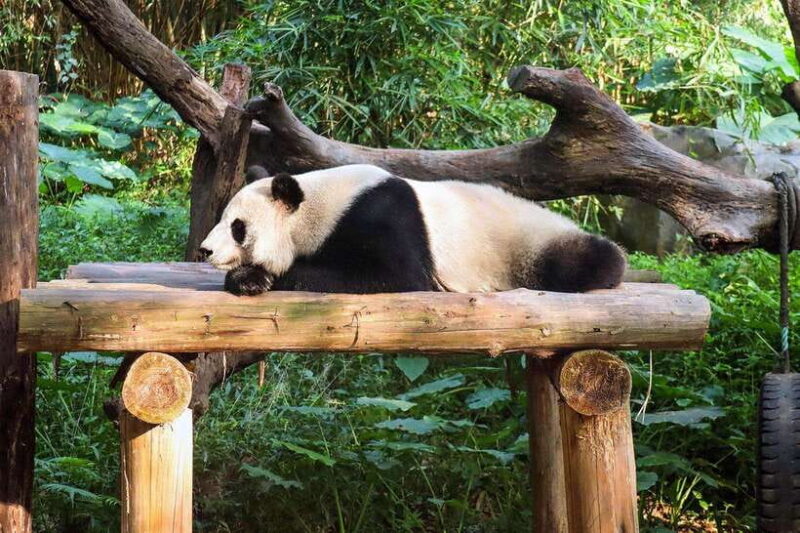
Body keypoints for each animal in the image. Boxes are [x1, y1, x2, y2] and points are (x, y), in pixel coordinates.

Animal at [199, 164, 626, 296]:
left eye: (237, 227)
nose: (205, 251)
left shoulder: (382, 216)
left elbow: (395, 275)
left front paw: (256, 276)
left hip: (526, 243)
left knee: (588, 259)